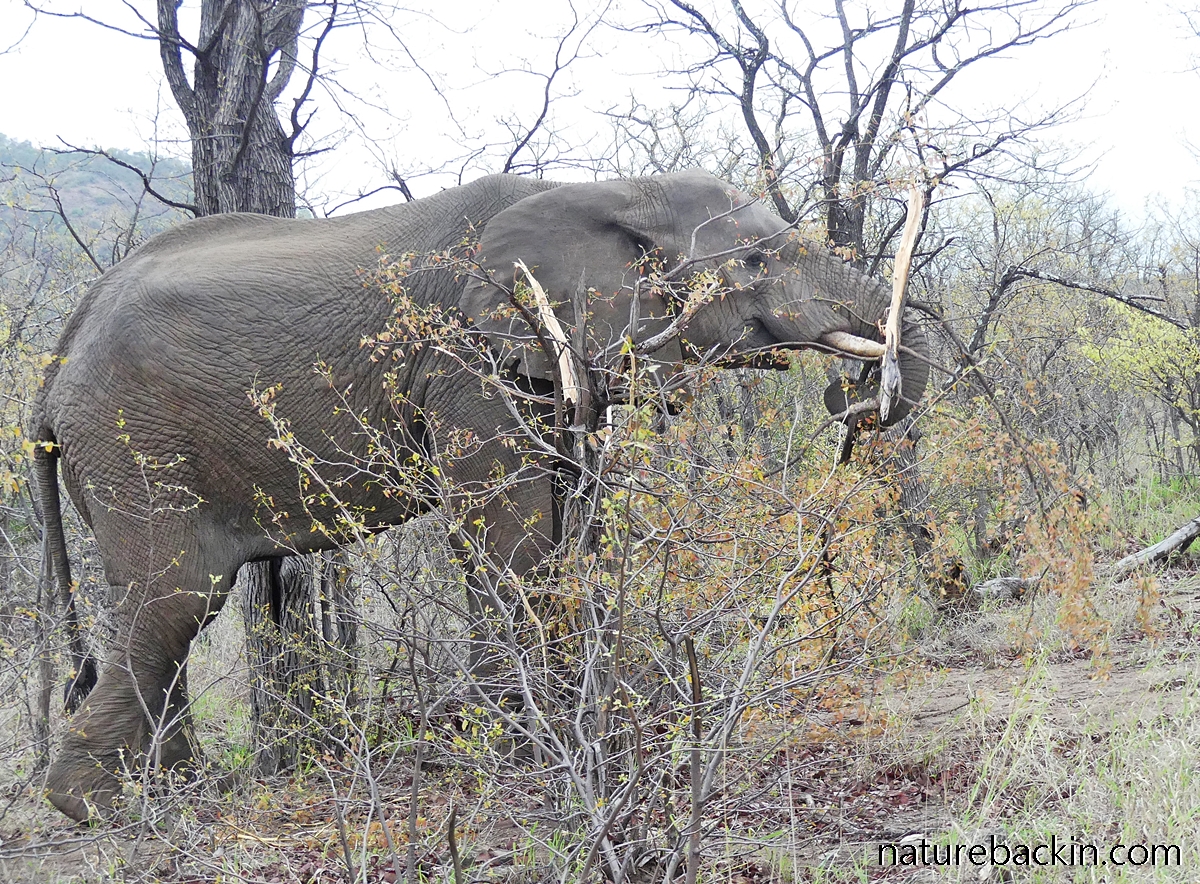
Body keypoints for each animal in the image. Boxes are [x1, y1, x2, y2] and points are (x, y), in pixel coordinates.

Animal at [31, 169, 930, 821]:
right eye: (751, 264)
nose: (853, 397)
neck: (602, 186)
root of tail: (55, 363)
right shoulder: (472, 358)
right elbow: (511, 535)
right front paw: (523, 752)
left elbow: (570, 524)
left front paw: (576, 724)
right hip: (135, 442)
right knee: (175, 599)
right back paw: (110, 810)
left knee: (160, 616)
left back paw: (171, 791)